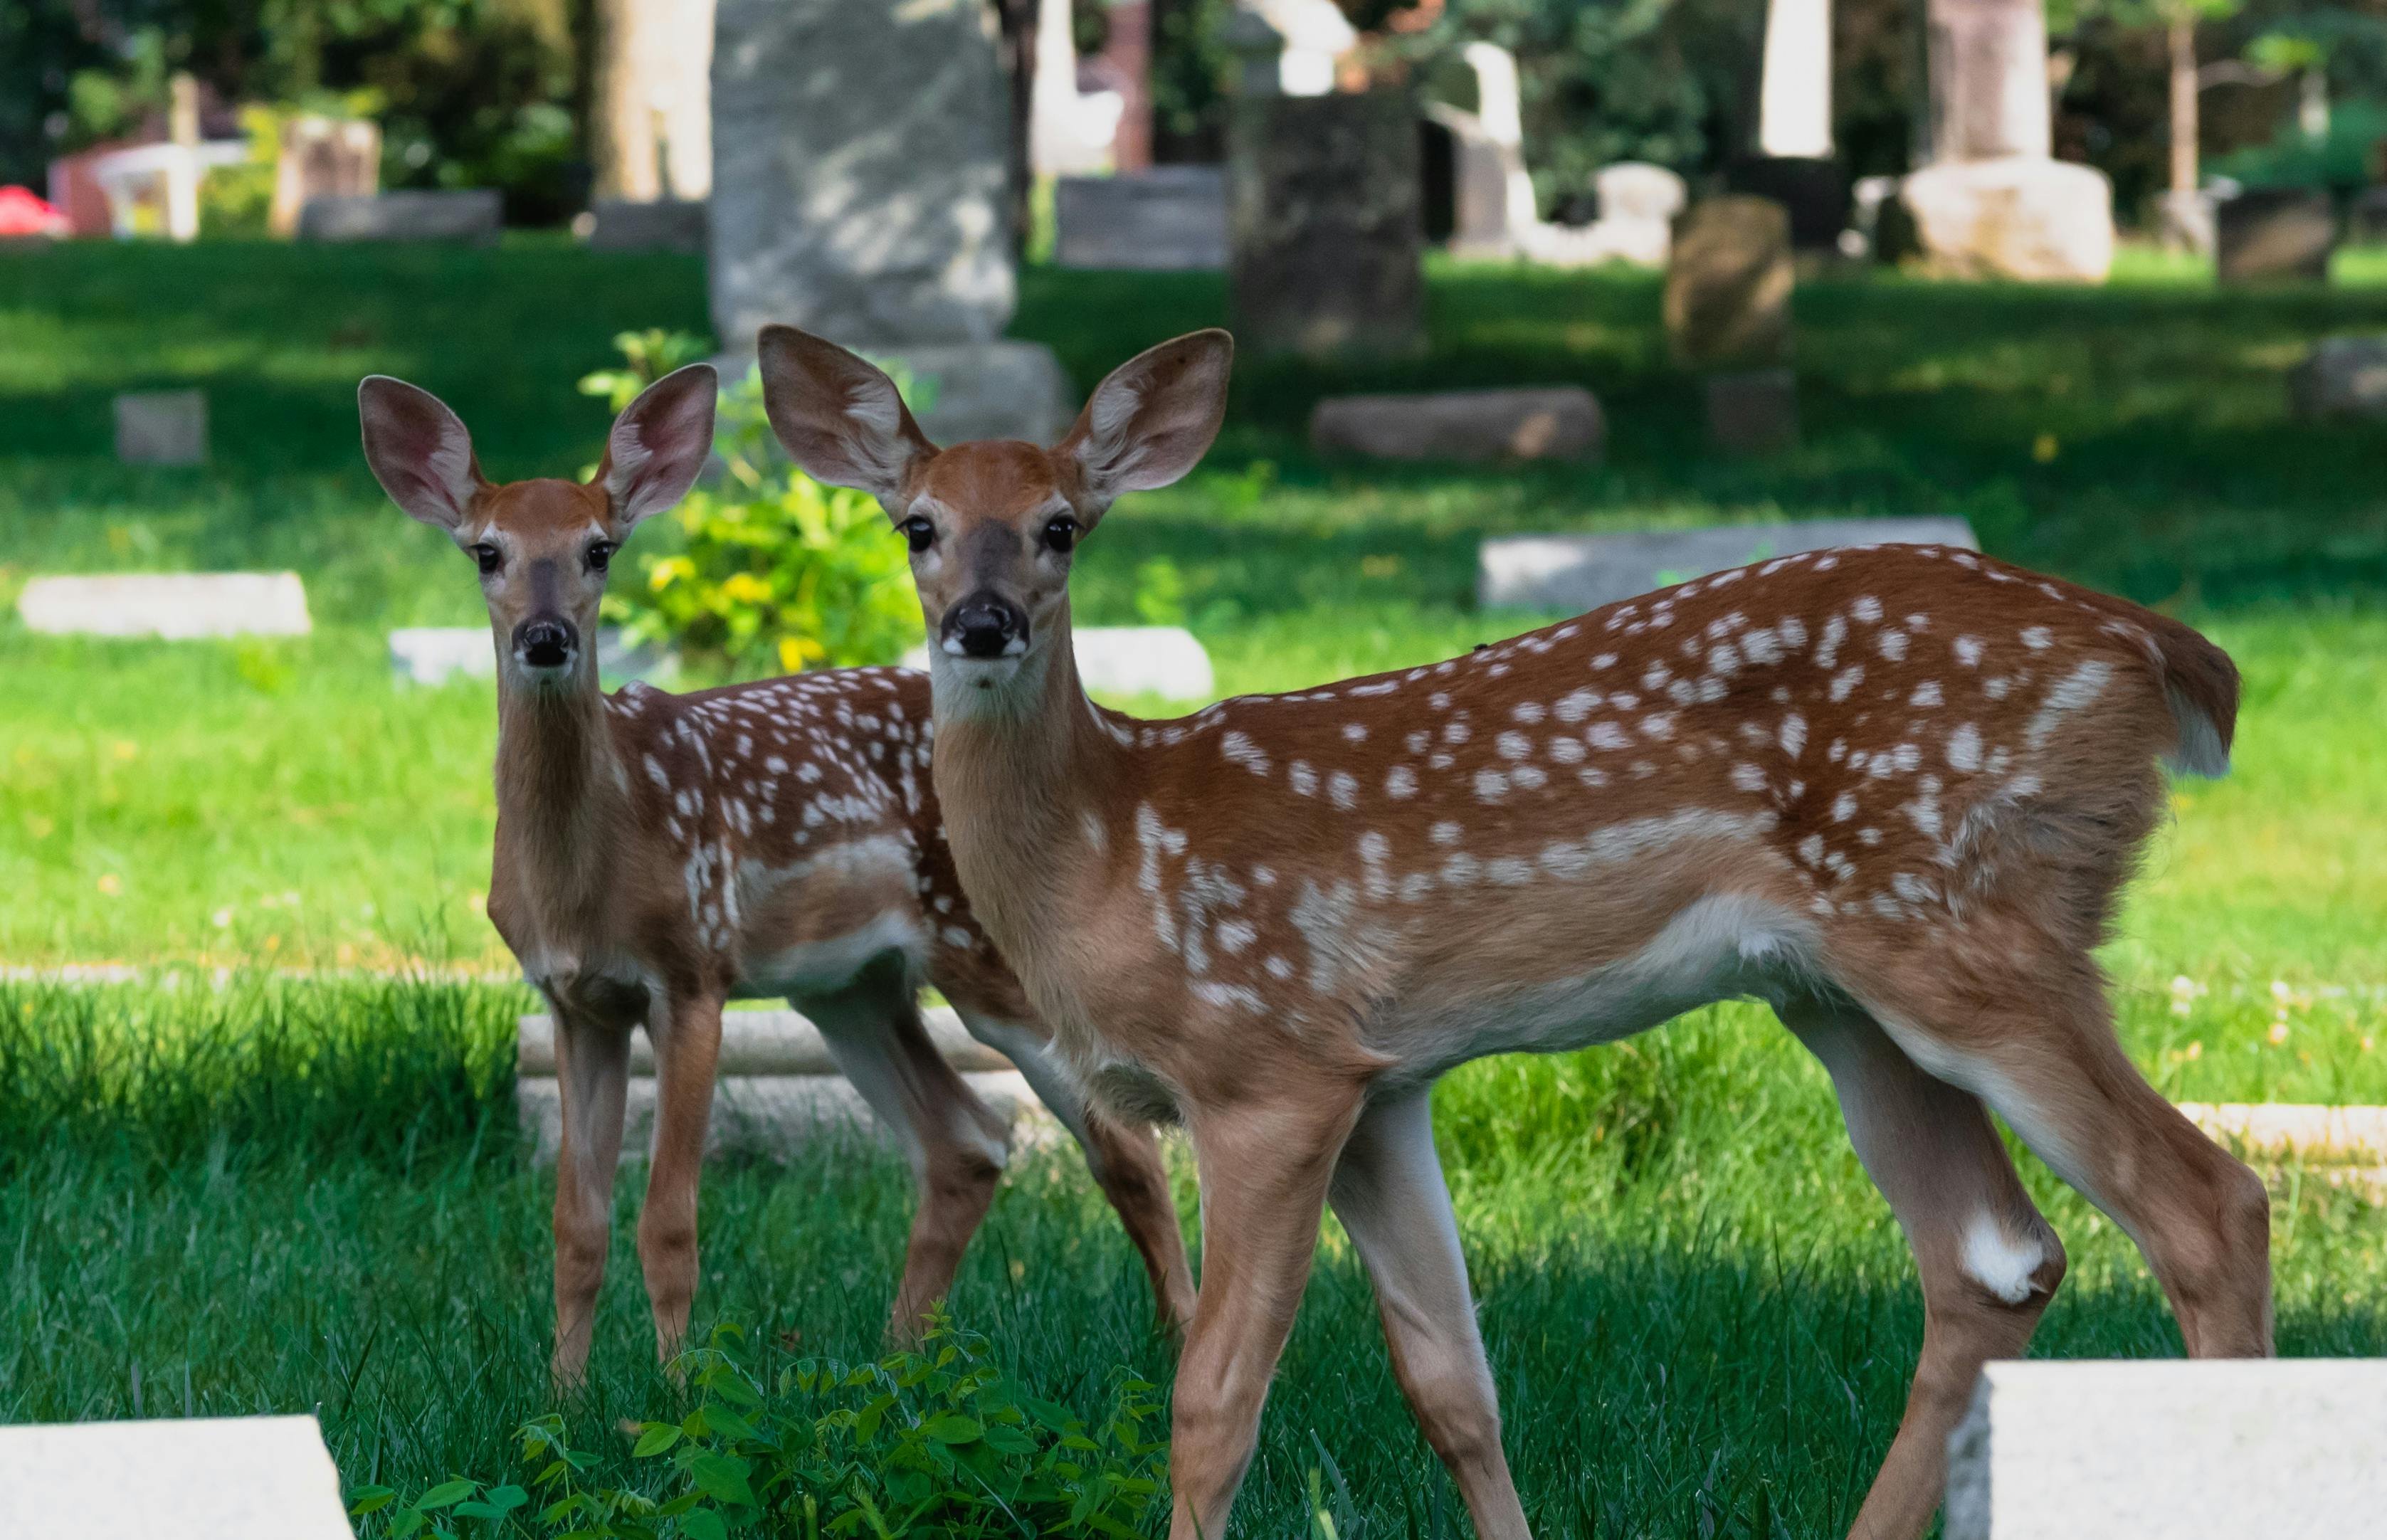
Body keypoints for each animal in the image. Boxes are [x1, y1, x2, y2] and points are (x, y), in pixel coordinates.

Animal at [355, 365, 1196, 1385]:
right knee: (967, 1141)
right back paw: (895, 1363)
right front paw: (563, 1396)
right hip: (849, 986)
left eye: (600, 549)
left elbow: (669, 1223)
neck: (590, 865)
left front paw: (676, 1392)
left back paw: (1175, 1347)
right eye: (487, 552)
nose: (546, 637)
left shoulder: (693, 970)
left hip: (990, 961)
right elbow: (575, 1227)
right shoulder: (575, 999)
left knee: (1126, 1144)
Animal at [754, 324, 2276, 1540]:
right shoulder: (1382, 1084)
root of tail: (2158, 647)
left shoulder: (1267, 1062)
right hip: (1840, 988)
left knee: (2207, 1201)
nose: (982, 623)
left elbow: (1213, 1397)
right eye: (915, 524)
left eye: (1064, 522)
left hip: (1969, 919)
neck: (1109, 843)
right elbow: (1451, 1384)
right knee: (1990, 1260)